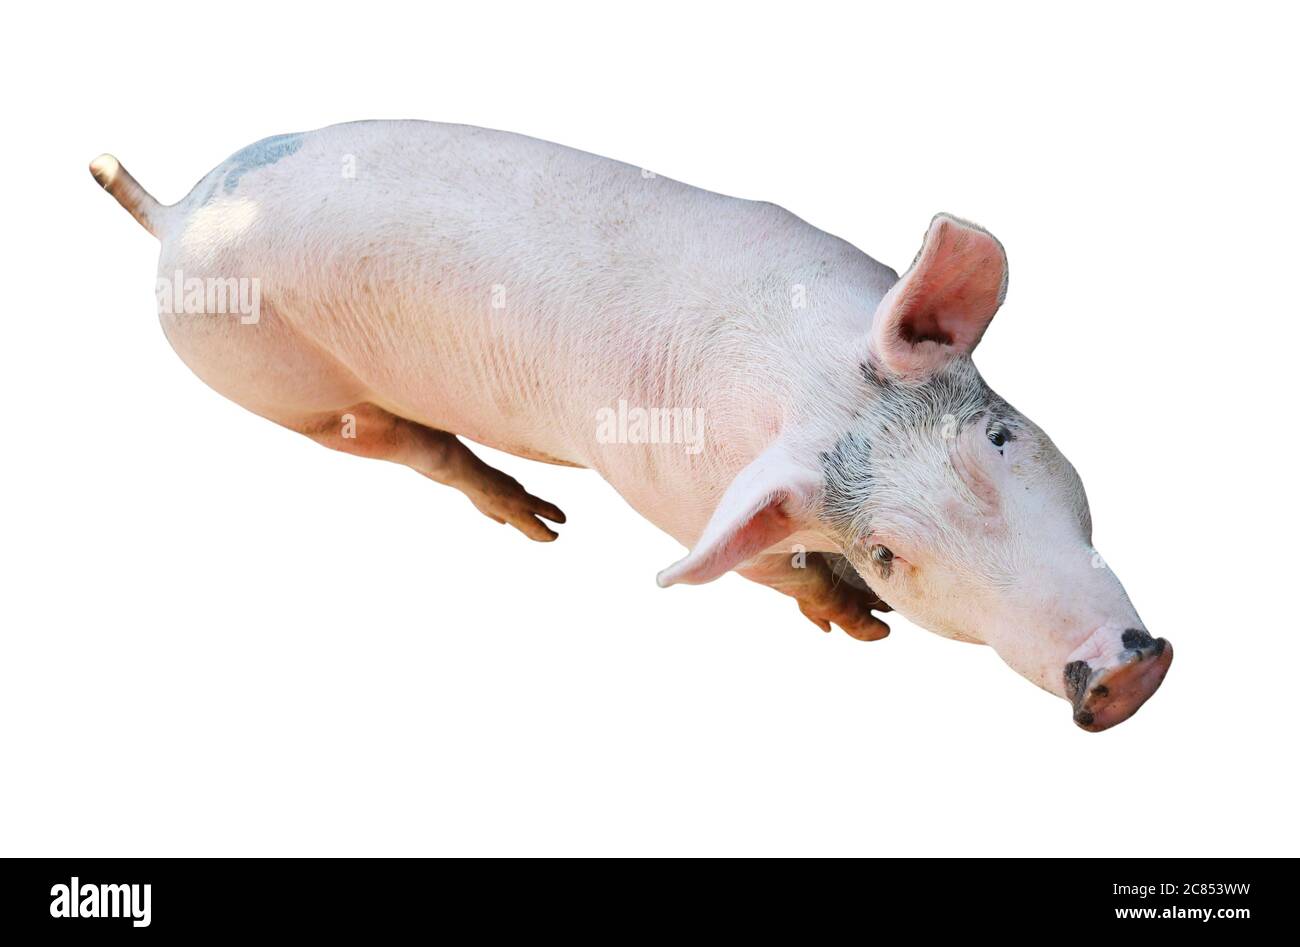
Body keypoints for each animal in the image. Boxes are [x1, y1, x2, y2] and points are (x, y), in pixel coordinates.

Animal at [91, 120, 1171, 730]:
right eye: (889, 551)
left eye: (998, 441)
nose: (1121, 675)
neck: (788, 375)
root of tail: (176, 213)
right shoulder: (670, 499)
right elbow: (768, 573)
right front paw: (864, 629)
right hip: (278, 388)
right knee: (401, 443)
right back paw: (540, 523)